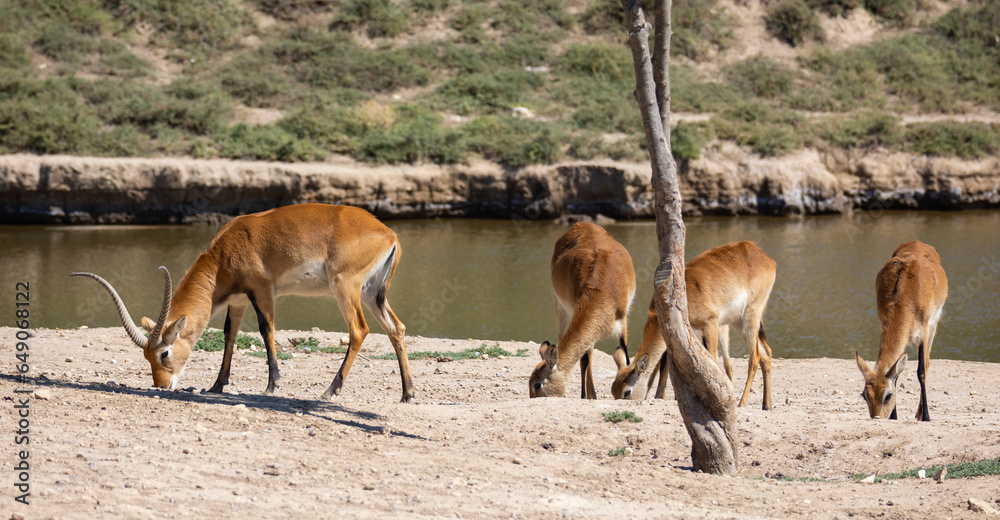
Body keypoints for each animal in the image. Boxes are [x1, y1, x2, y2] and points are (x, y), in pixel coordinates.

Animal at [71, 203, 416, 402]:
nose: (161, 385)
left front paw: (272, 385)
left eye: (163, 353)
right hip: (372, 293)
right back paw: (407, 393)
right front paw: (216, 386)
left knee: (359, 330)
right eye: (146, 357)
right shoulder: (237, 301)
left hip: (346, 287)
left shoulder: (262, 291)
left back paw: (330, 391)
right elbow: (229, 335)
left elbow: (267, 330)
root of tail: (388, 233)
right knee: (396, 328)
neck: (225, 252)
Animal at [529, 222, 636, 399]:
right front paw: (584, 396)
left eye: (537, 384)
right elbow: (584, 359)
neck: (603, 289)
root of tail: (583, 223)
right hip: (561, 307)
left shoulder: (622, 320)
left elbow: (625, 356)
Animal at [612, 241, 777, 410]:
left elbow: (712, 361)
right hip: (738, 323)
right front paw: (661, 397)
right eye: (613, 391)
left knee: (755, 358)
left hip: (749, 318)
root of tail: (766, 257)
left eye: (627, 392)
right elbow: (667, 366)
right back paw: (766, 405)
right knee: (766, 354)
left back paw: (741, 404)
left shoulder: (710, 324)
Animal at [856, 241, 947, 421]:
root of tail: (918, 242)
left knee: (927, 364)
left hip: (934, 325)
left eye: (888, 395)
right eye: (864, 395)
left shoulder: (923, 333)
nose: (877, 417)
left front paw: (926, 416)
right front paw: (894, 416)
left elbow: (921, 371)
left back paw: (920, 414)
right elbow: (897, 375)